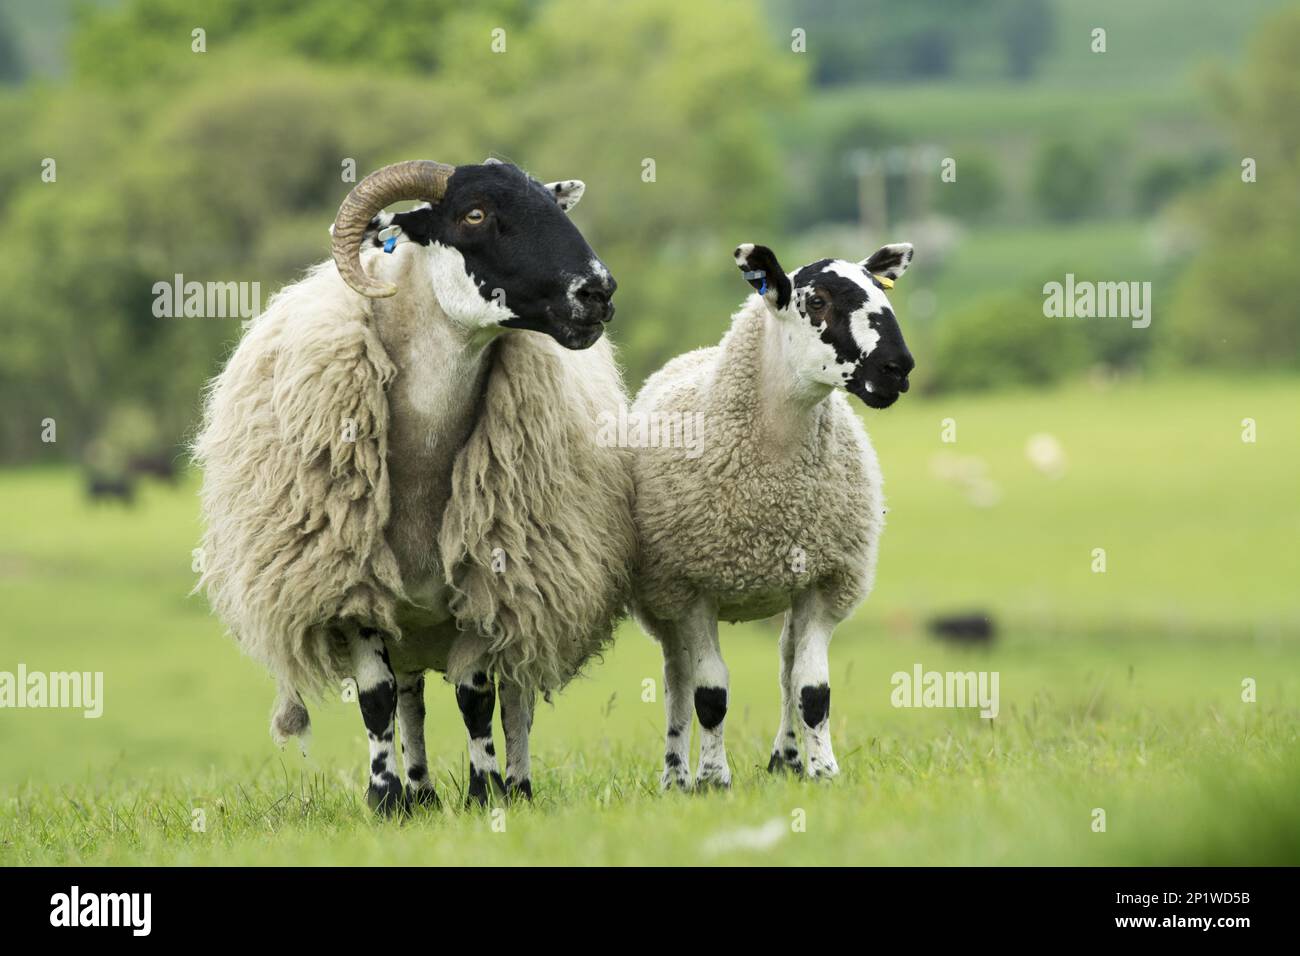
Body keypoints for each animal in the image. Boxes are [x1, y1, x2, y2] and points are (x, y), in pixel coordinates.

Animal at [194, 159, 636, 814]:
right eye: (474, 214)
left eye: (552, 205)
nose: (597, 292)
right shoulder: (353, 588)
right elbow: (378, 700)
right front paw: (385, 799)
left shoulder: (488, 584)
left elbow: (478, 698)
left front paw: (485, 793)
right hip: (407, 621)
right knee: (409, 700)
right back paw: (421, 794)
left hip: (529, 590)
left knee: (517, 698)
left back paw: (518, 786)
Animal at [631, 240, 915, 788]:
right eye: (818, 302)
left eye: (881, 290)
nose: (899, 367)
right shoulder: (695, 588)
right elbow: (710, 695)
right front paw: (713, 780)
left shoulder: (825, 582)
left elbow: (812, 690)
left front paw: (824, 771)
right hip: (664, 598)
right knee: (677, 678)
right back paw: (676, 776)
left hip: (789, 582)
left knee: (785, 667)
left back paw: (785, 759)